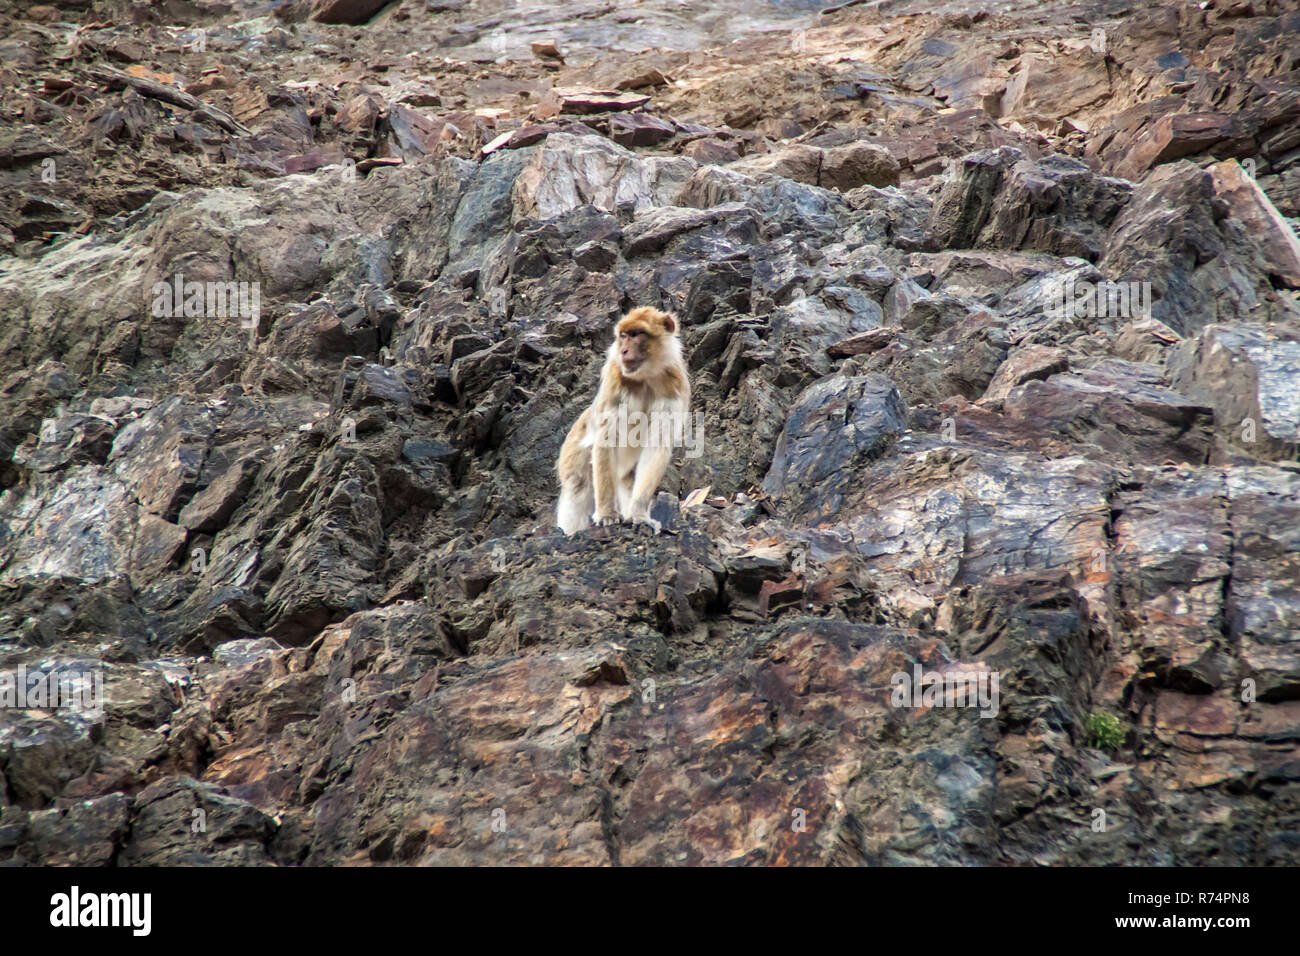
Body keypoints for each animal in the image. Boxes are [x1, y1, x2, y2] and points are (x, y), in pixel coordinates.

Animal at [556, 307, 691, 534]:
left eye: (637, 334)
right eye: (623, 335)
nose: (624, 351)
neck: (646, 377)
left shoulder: (674, 386)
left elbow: (657, 444)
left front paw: (639, 514)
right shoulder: (614, 381)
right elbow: (606, 439)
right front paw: (607, 514)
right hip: (572, 453)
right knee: (578, 486)